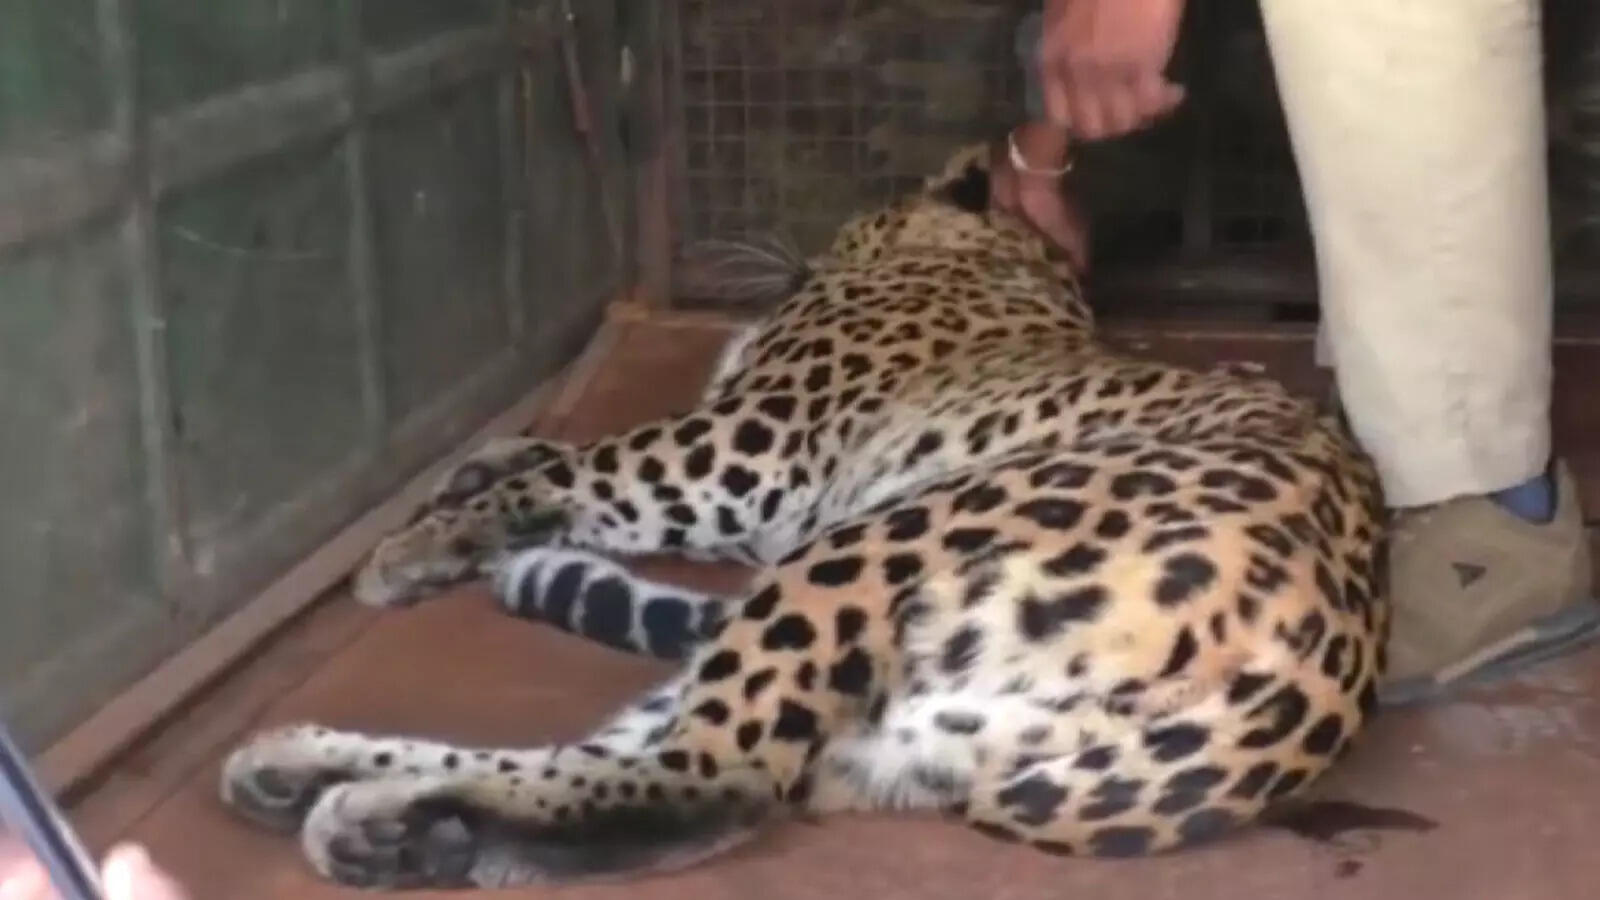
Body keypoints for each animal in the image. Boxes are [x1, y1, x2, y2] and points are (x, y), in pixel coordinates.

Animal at [218, 140, 1388, 891]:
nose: (799, 257)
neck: (1010, 266)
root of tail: (1313, 680)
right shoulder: (754, 502)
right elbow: (560, 463)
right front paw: (475, 478)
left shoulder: (746, 452)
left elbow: (601, 462)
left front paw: (412, 547)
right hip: (890, 692)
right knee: (634, 765)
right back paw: (329, 787)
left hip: (864, 554)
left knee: (710, 780)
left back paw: (378, 816)